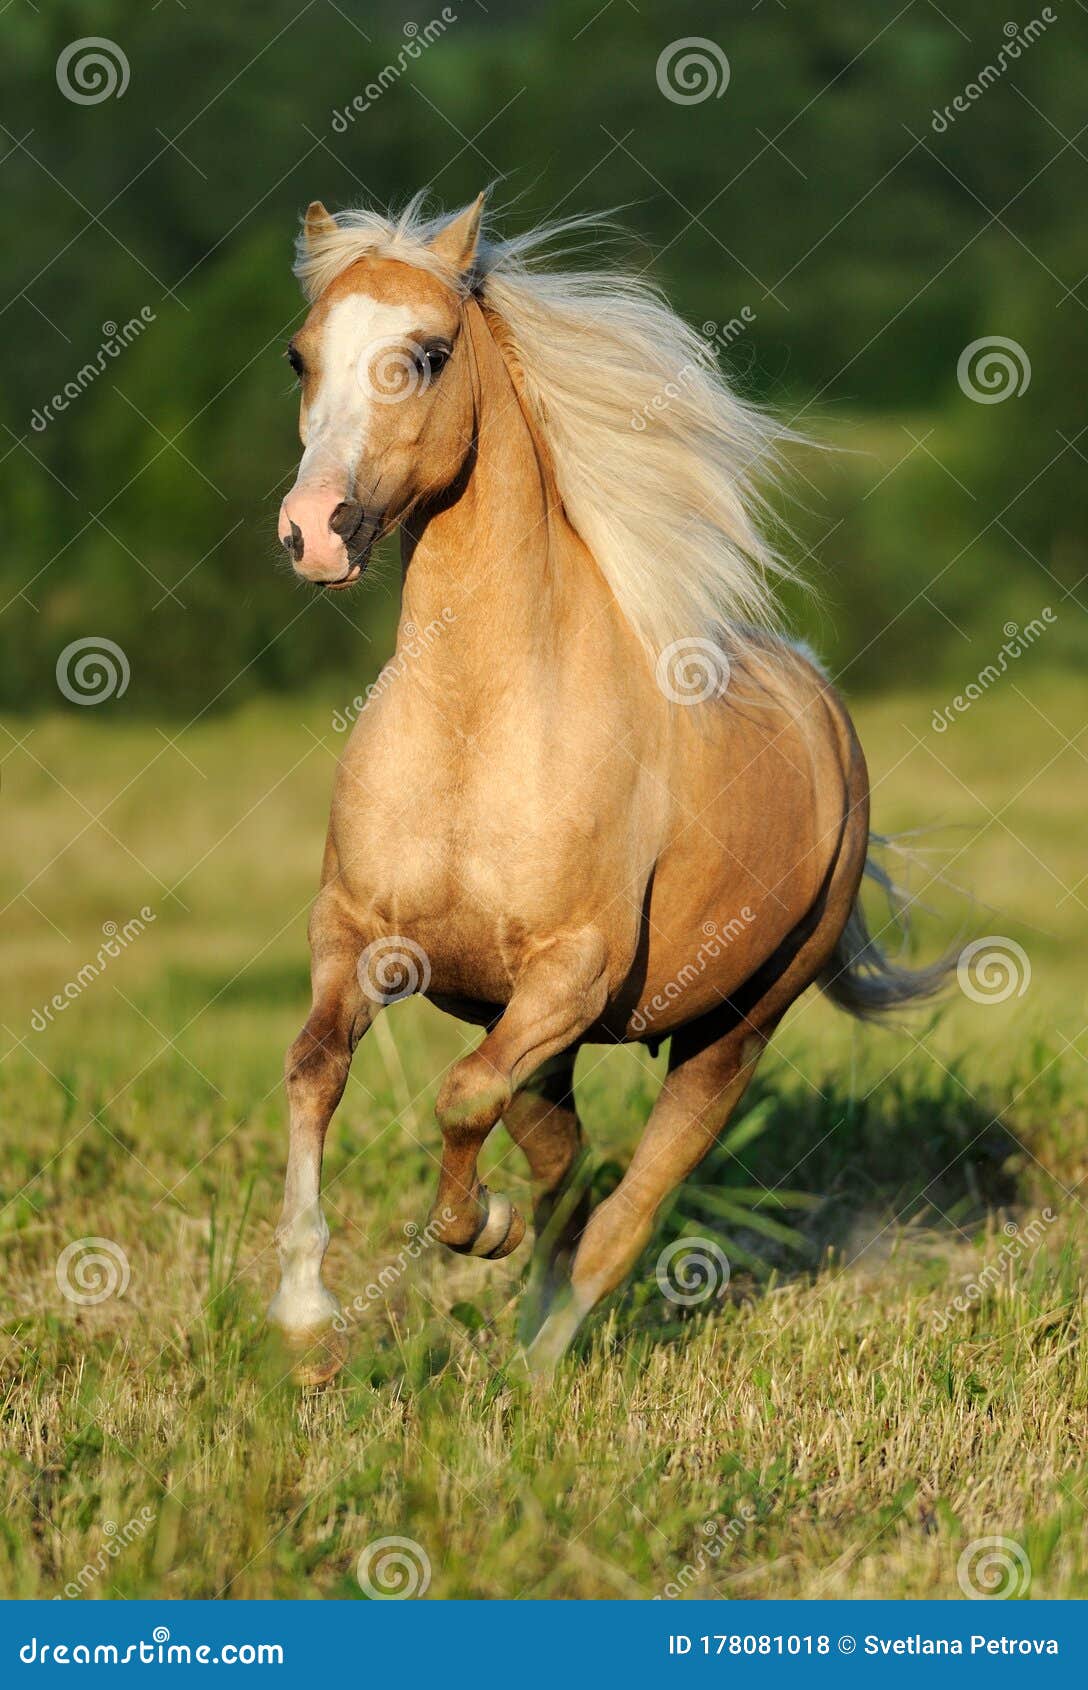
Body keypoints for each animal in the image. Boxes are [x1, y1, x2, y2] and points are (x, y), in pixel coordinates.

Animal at [266, 191, 945, 1386]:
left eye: (425, 354)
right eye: (301, 356)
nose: (315, 531)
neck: (477, 726)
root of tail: (822, 704)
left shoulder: (569, 975)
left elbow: (461, 1095)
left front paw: (474, 1227)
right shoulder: (358, 937)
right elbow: (316, 1067)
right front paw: (306, 1320)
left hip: (731, 1031)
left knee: (626, 1206)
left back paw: (538, 1367)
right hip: (557, 1040)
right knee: (569, 1158)